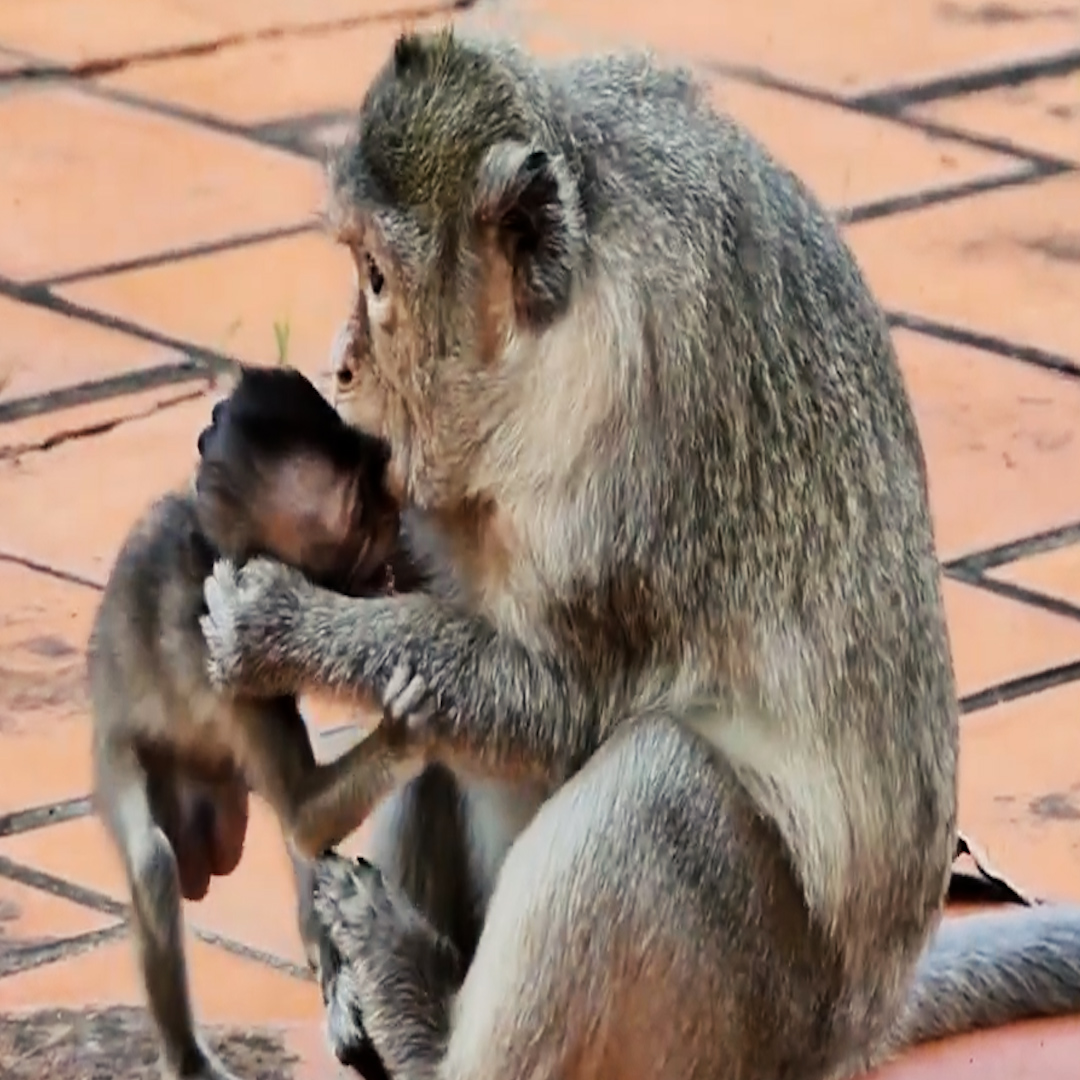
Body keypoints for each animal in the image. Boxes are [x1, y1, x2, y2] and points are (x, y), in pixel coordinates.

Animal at [88, 363, 419, 1080]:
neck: (210, 548)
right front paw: (411, 726)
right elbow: (299, 810)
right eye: (360, 521)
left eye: (379, 500)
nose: (395, 530)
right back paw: (190, 1059)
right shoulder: (221, 651)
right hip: (115, 754)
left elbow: (303, 820)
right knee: (155, 863)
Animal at [194, 30, 1080, 1080]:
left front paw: (286, 626)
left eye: (377, 277)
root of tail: (861, 1025)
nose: (340, 363)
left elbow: (569, 702)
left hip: (755, 1014)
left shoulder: (640, 436)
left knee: (656, 787)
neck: (558, 335)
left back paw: (423, 1026)